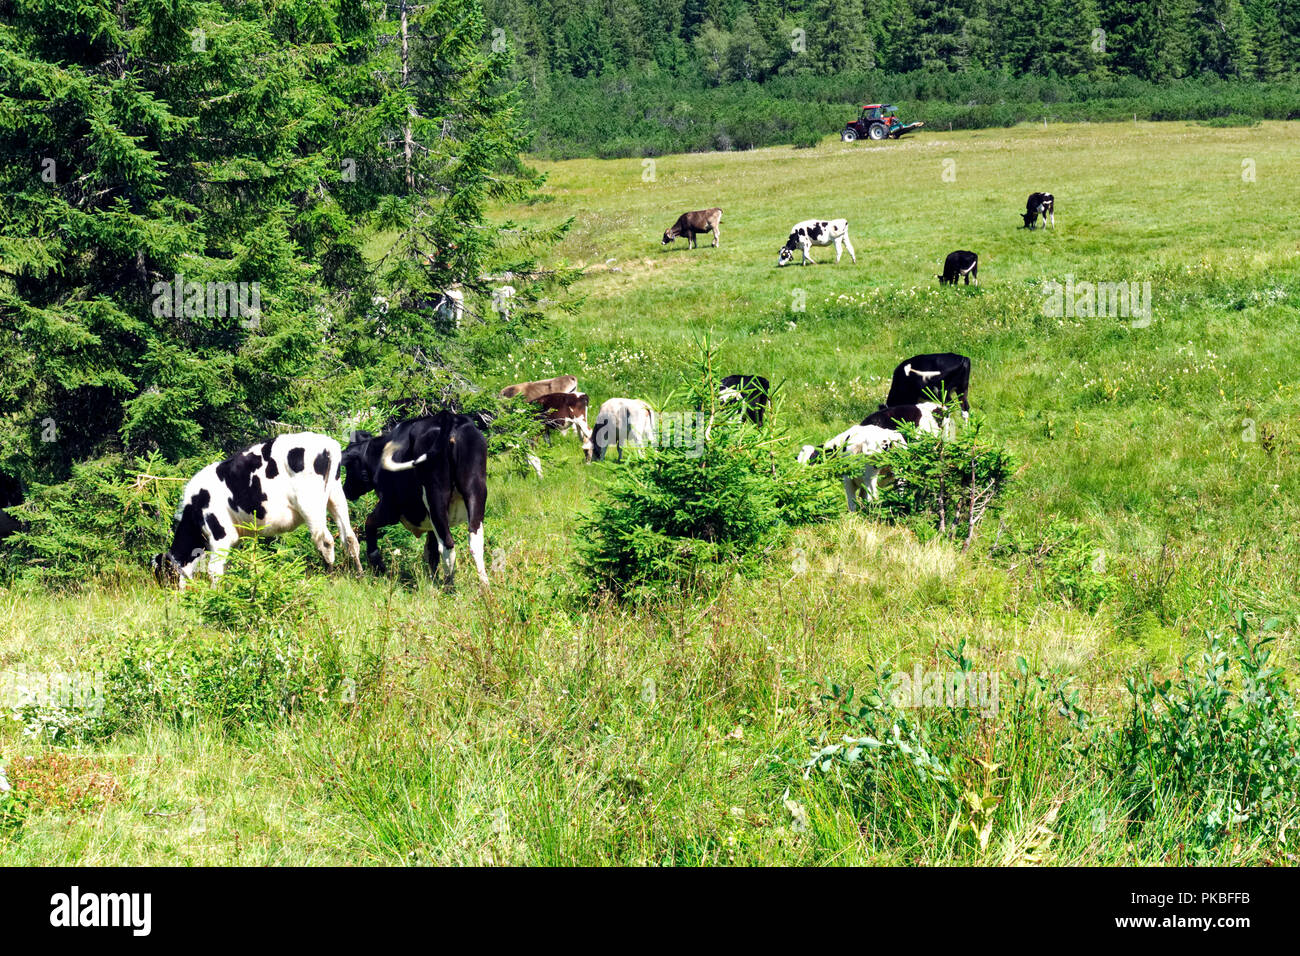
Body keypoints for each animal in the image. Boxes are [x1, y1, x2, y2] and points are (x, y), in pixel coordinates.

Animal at [151, 432, 362, 588]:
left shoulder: (220, 535)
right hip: (336, 495)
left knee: (325, 542)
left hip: (310, 502)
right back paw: (359, 576)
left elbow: (215, 570)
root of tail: (327, 443)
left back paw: (330, 580)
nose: (169, 596)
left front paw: (215, 597)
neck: (194, 511)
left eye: (163, 576)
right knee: (350, 539)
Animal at [340, 411, 488, 586]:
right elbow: (431, 552)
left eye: (349, 466)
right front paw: (432, 581)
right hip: (475, 488)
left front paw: (379, 567)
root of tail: (449, 418)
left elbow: (369, 523)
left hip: (435, 495)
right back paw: (484, 586)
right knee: (474, 540)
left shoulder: (389, 508)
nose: (346, 490)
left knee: (447, 545)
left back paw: (448, 587)